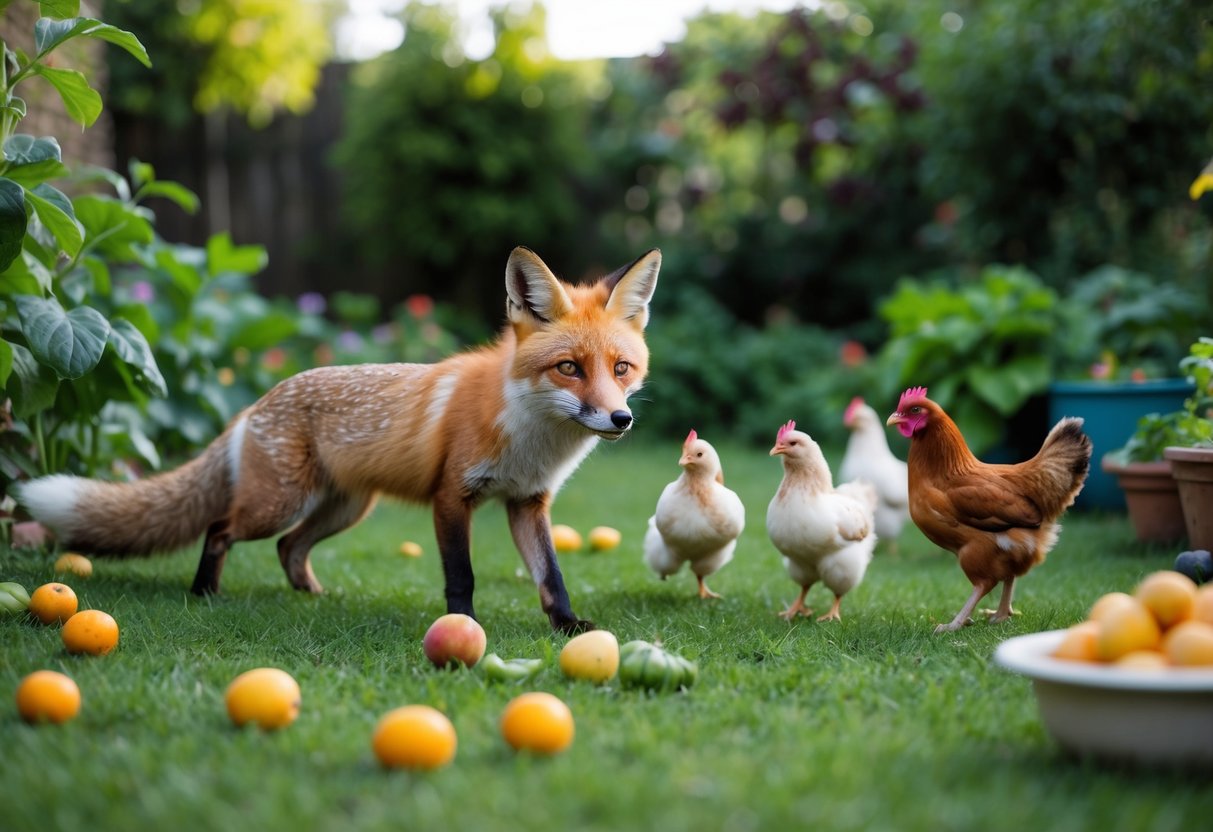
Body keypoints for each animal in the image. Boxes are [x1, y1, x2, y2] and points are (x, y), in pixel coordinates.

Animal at [15, 246, 661, 632]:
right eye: (569, 369)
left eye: (621, 369)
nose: (619, 420)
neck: (529, 433)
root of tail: (253, 402)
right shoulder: (453, 498)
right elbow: (462, 576)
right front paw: (462, 627)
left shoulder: (528, 503)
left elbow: (551, 576)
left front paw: (570, 628)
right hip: (279, 504)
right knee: (220, 528)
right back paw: (204, 592)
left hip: (344, 508)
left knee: (288, 548)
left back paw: (312, 596)